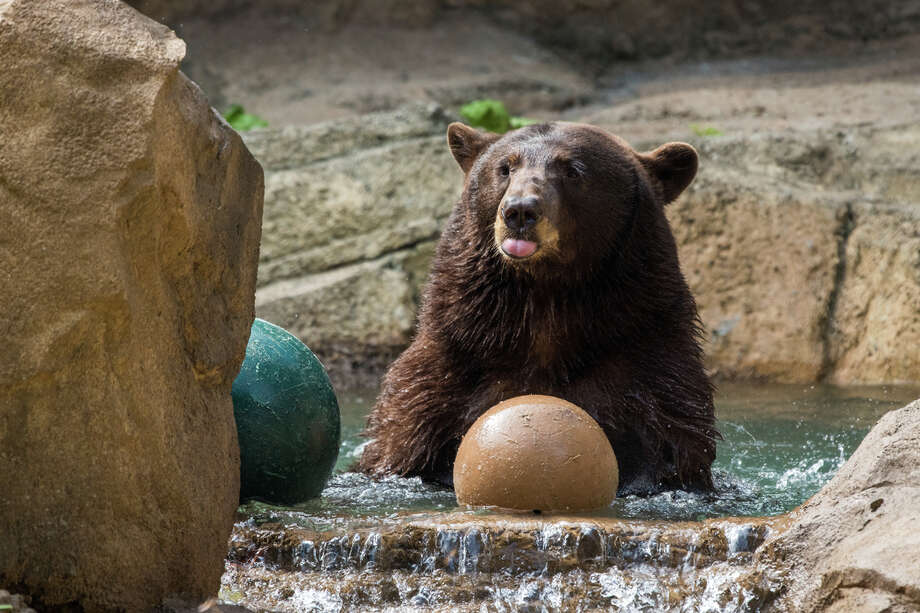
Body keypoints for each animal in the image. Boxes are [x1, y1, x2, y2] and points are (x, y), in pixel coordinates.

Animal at [357, 121, 719, 493]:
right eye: (505, 167)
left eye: (573, 170)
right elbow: (406, 433)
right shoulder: (445, 374)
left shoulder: (650, 368)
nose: (520, 211)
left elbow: (668, 440)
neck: (544, 305)